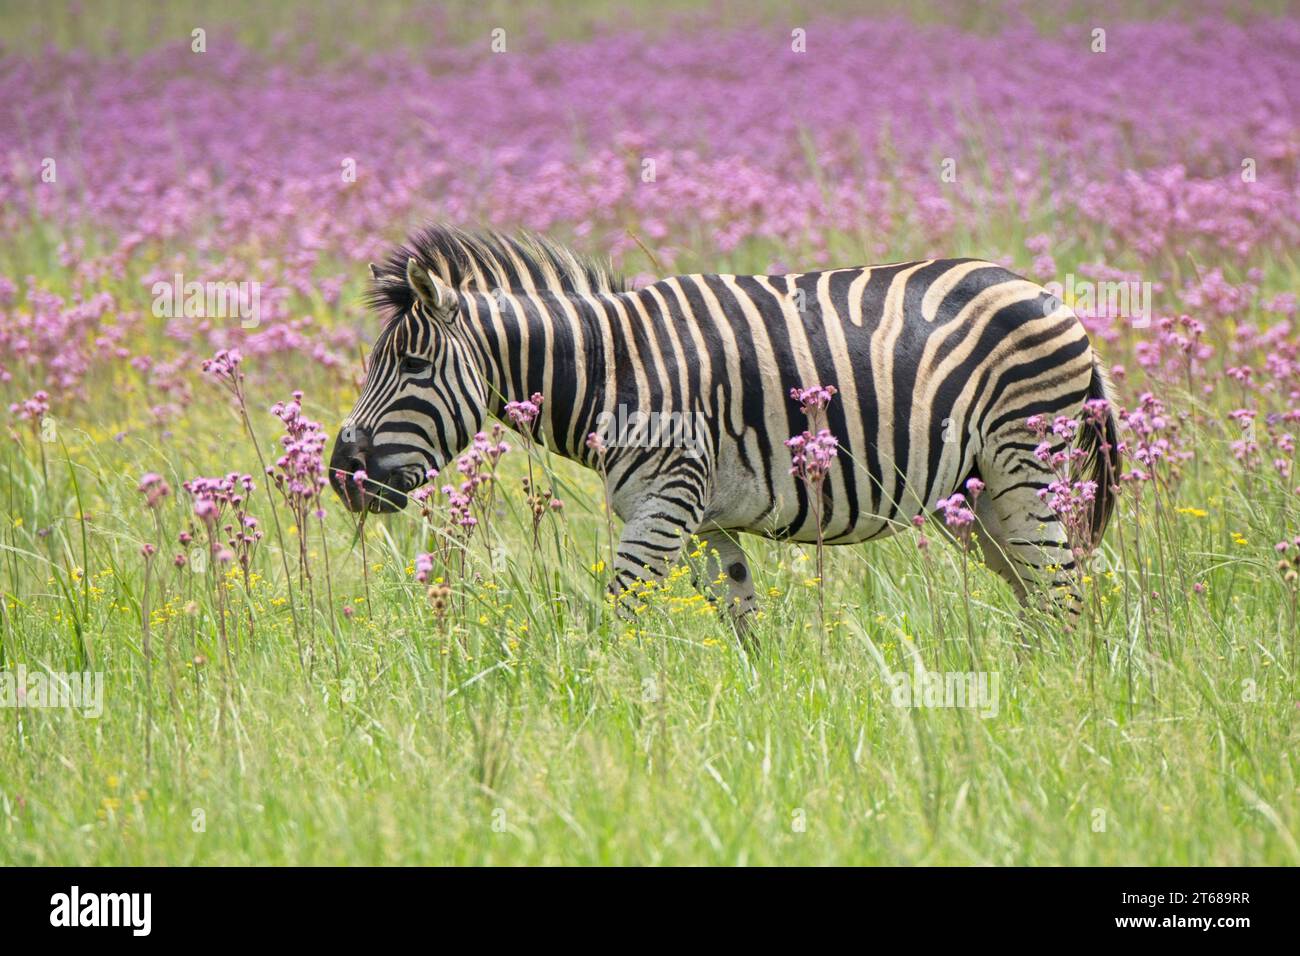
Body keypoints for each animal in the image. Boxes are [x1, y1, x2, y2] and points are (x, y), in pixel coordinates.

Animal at [329, 226, 1118, 627]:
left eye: (415, 367)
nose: (342, 475)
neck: (615, 369)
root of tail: (1049, 295)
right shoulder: (705, 519)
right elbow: (741, 622)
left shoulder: (663, 503)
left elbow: (618, 618)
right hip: (978, 496)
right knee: (1042, 593)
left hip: (1025, 467)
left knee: (1063, 591)